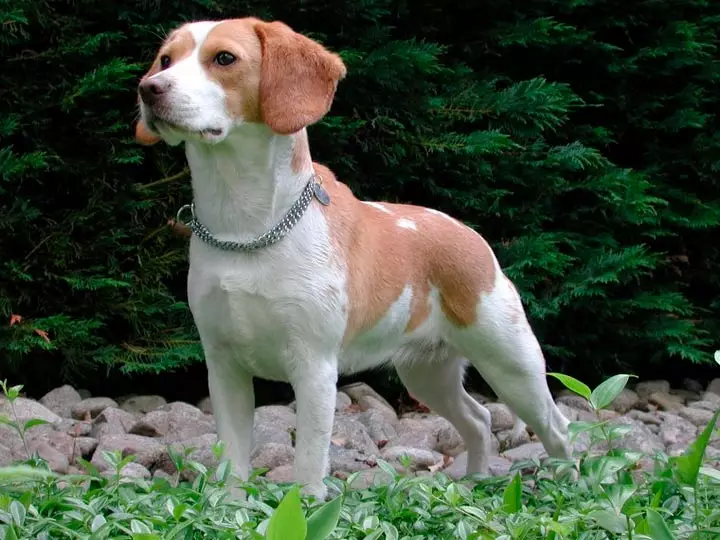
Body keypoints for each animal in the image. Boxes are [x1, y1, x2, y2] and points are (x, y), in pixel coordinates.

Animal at [134, 15, 572, 498]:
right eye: (166, 60)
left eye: (224, 58)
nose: (148, 89)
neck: (245, 230)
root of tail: (468, 234)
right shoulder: (224, 367)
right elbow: (232, 461)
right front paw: (229, 506)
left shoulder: (314, 369)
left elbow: (308, 464)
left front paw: (305, 508)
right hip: (428, 374)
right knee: (478, 420)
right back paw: (475, 481)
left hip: (512, 364)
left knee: (556, 426)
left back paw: (570, 485)